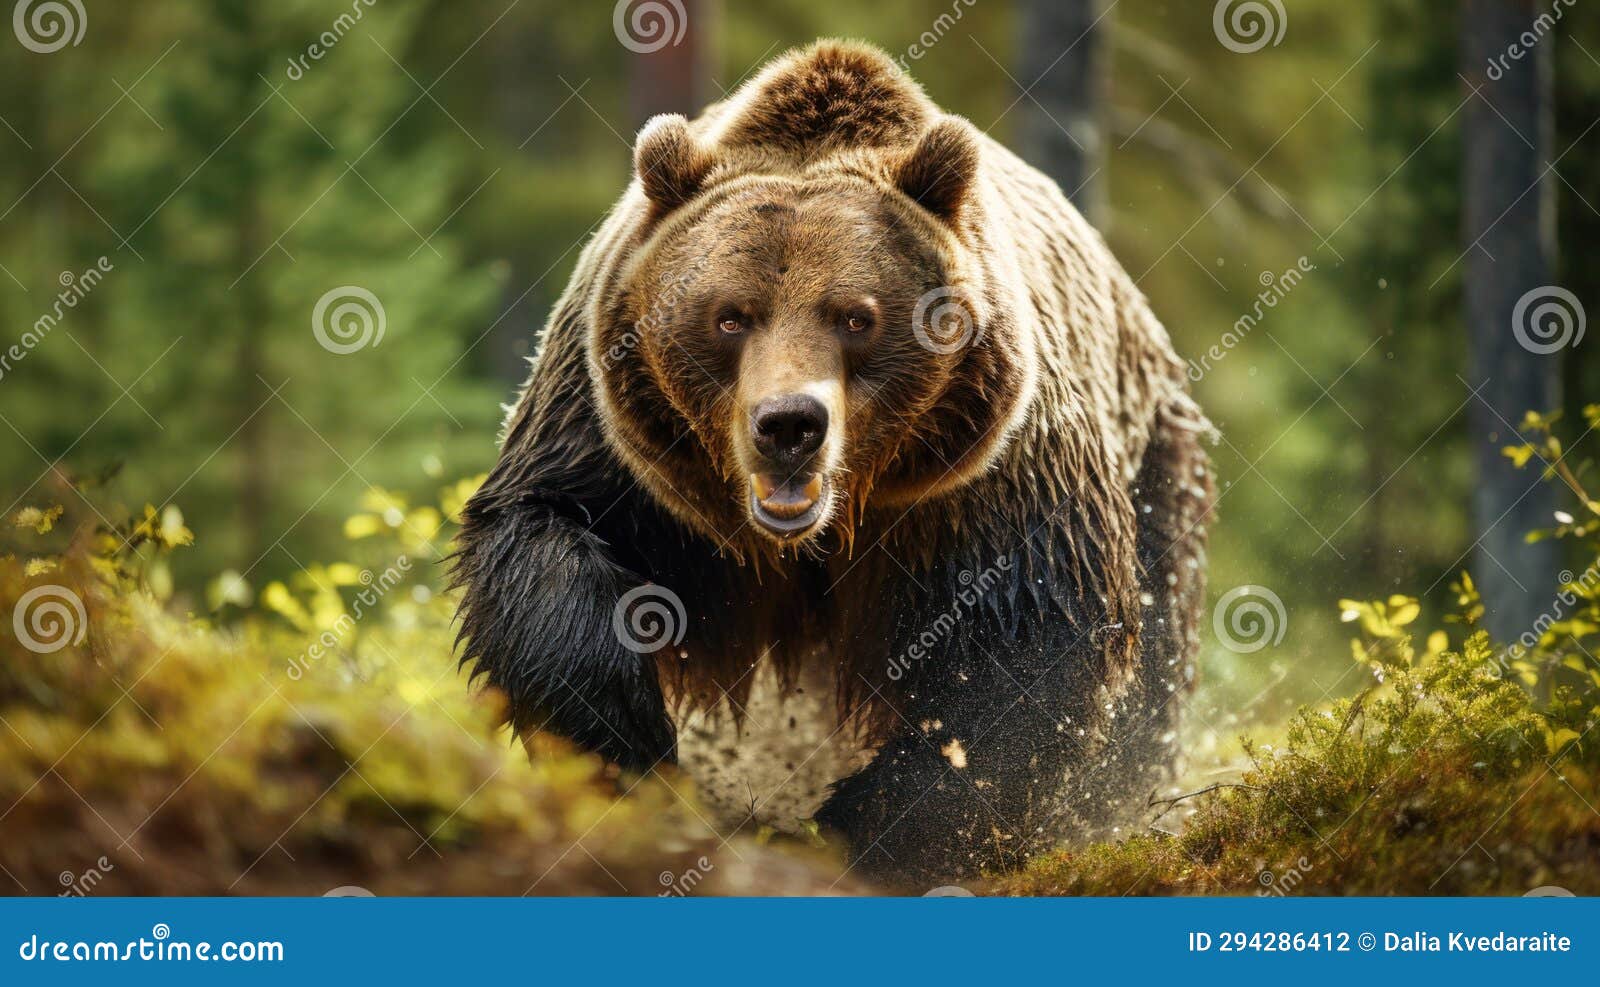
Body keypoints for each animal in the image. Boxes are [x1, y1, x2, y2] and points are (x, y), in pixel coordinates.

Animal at [452, 40, 1213, 886]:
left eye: (856, 317)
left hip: (1157, 458)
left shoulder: (988, 473)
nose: (789, 424)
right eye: (730, 316)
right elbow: (545, 536)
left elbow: (1025, 636)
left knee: (1155, 661)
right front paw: (629, 741)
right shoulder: (622, 439)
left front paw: (862, 826)